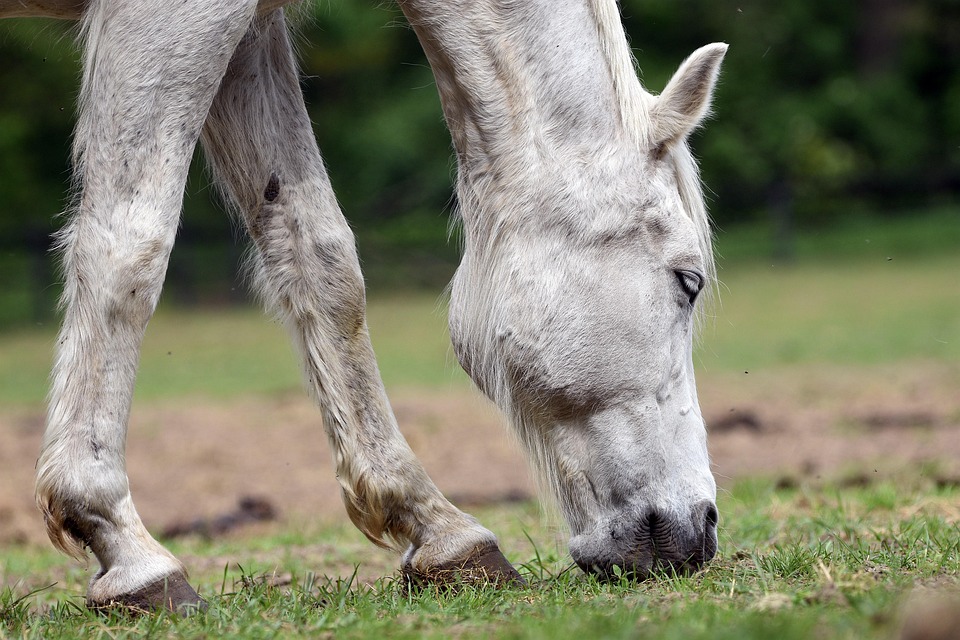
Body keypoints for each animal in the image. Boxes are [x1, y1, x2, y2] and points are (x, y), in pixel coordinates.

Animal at [1, 0, 726, 612]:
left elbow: (318, 256)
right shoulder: (170, 18)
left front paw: (439, 530)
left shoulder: (251, 34)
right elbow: (129, 246)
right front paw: (123, 548)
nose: (699, 531)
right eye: (688, 280)